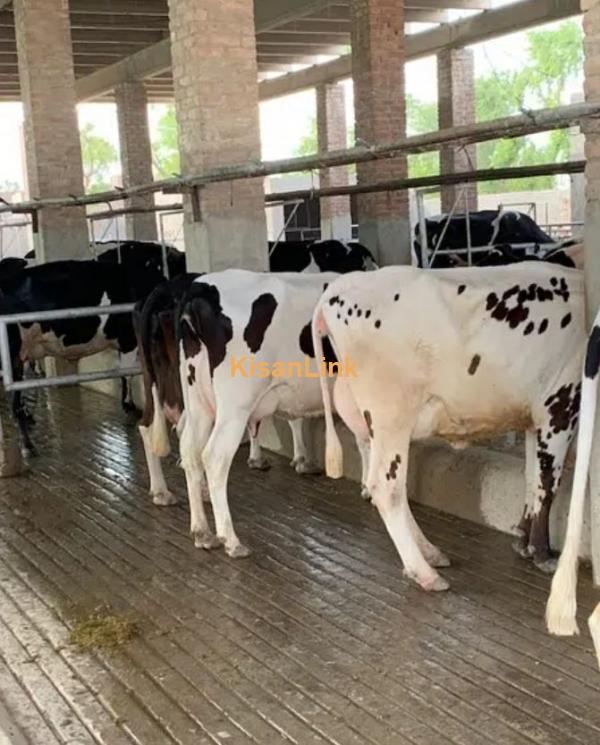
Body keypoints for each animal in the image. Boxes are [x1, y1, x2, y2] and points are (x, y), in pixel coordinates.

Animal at [311, 262, 585, 590]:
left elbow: (531, 477)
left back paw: (431, 553)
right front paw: (542, 554)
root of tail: (337, 287)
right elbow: (548, 482)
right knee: (385, 487)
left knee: (394, 486)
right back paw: (425, 573)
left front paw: (523, 540)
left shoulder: (532, 416)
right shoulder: (560, 402)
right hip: (392, 414)